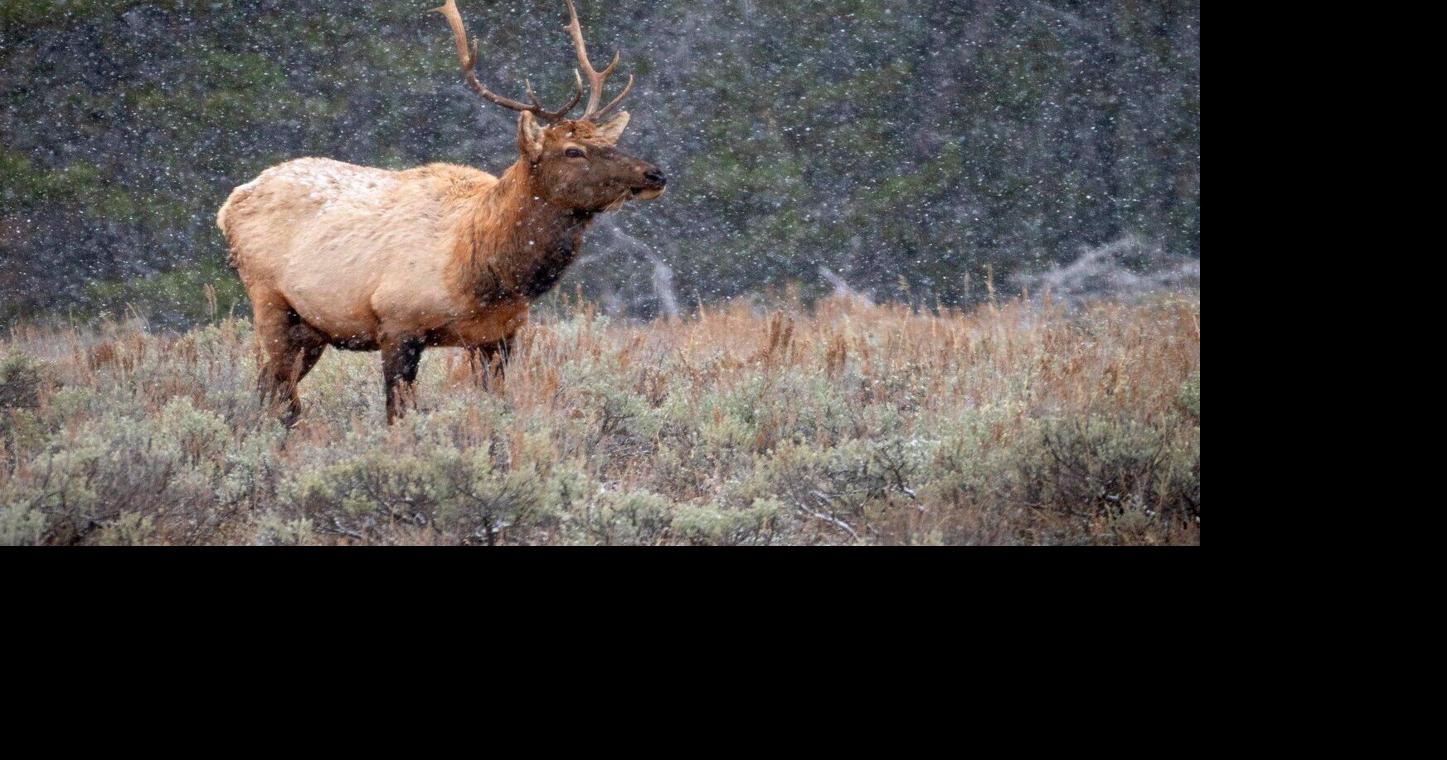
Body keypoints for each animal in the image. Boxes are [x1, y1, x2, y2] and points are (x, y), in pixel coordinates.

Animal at [216, 0, 665, 425]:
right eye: (573, 151)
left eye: (607, 143)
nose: (655, 173)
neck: (487, 272)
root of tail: (228, 204)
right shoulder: (398, 323)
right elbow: (398, 414)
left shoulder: (499, 336)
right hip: (269, 301)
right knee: (283, 396)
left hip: (312, 328)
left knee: (269, 387)